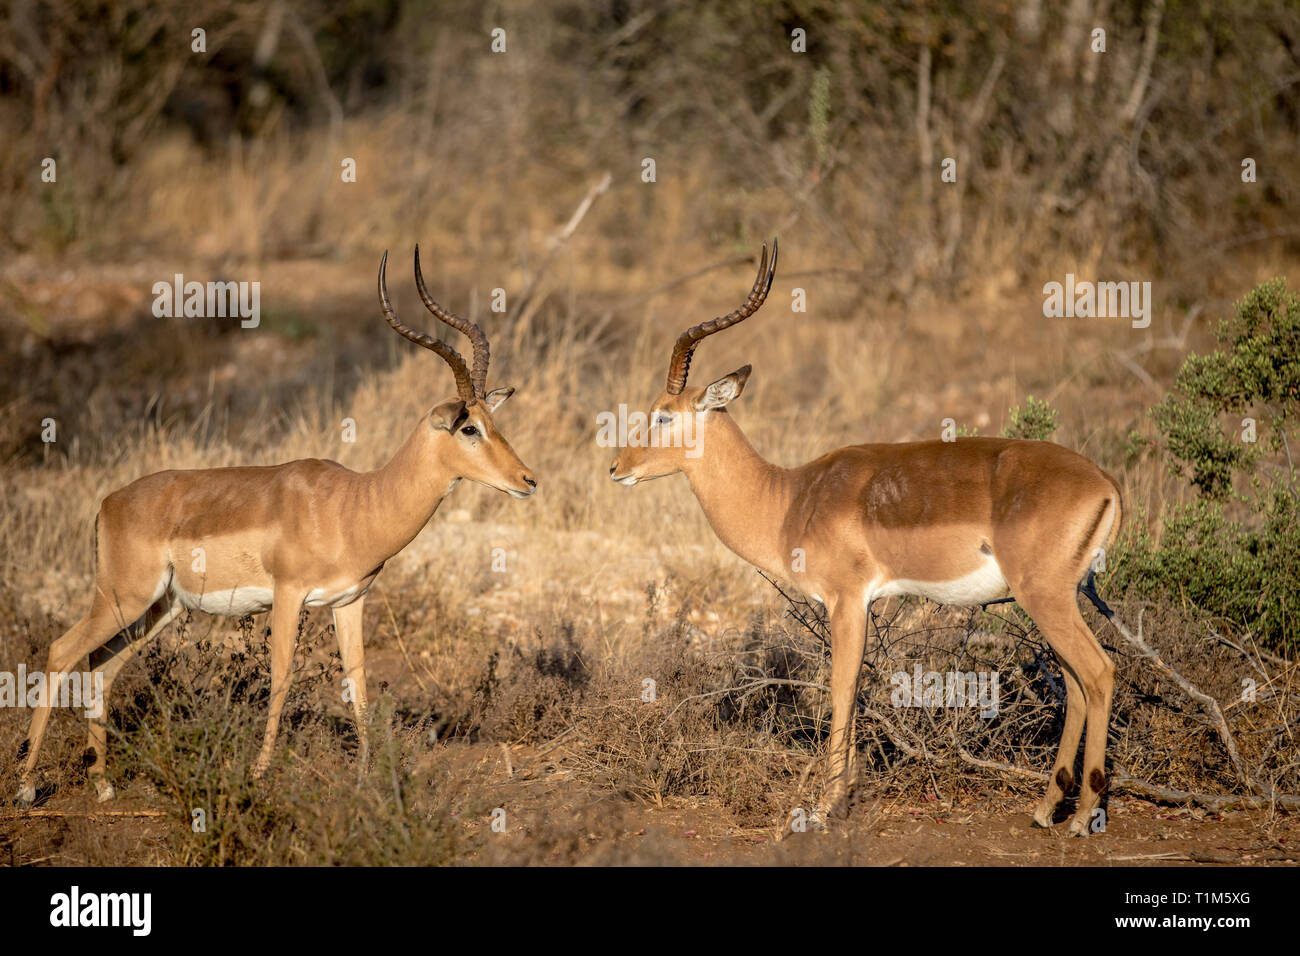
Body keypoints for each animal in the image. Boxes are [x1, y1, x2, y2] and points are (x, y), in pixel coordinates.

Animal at [16, 249, 537, 805]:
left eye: (495, 423)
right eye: (469, 428)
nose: (528, 480)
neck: (352, 506)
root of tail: (109, 503)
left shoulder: (350, 602)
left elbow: (358, 682)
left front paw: (367, 780)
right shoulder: (288, 596)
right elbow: (282, 678)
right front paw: (259, 774)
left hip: (159, 606)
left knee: (102, 665)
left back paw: (103, 785)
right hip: (123, 596)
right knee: (62, 651)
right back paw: (27, 787)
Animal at [609, 239, 1123, 835]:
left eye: (664, 417)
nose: (617, 467)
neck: (789, 499)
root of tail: (1105, 482)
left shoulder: (846, 600)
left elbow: (841, 687)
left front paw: (822, 808)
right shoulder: (860, 604)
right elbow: (853, 689)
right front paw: (845, 795)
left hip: (1045, 597)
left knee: (1098, 673)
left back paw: (1083, 817)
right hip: (1054, 599)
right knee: (1076, 684)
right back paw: (1045, 809)